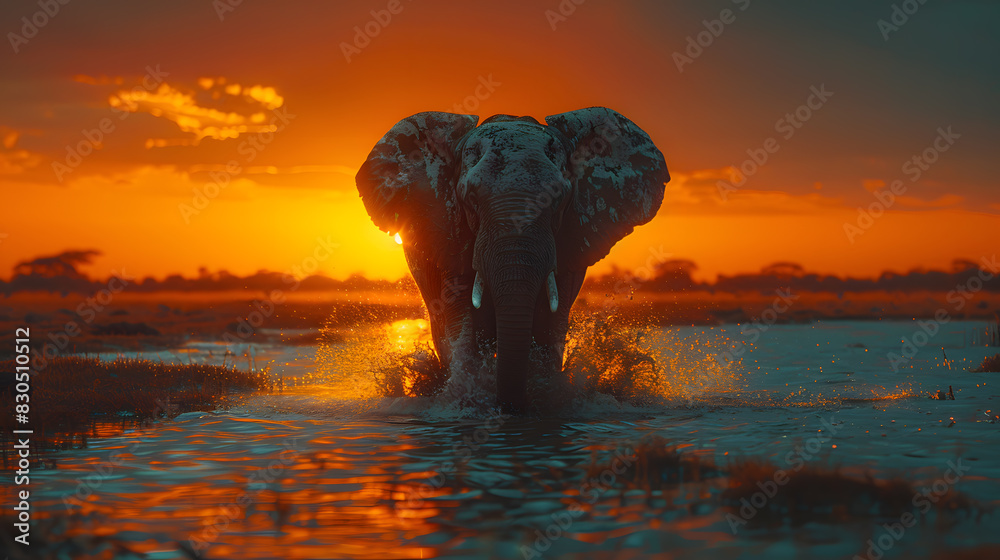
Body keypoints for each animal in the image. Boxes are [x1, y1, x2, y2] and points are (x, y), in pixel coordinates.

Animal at [356, 107, 669, 413]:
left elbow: (551, 323)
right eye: (470, 200)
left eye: (559, 200)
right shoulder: (451, 237)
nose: (510, 408)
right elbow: (462, 323)